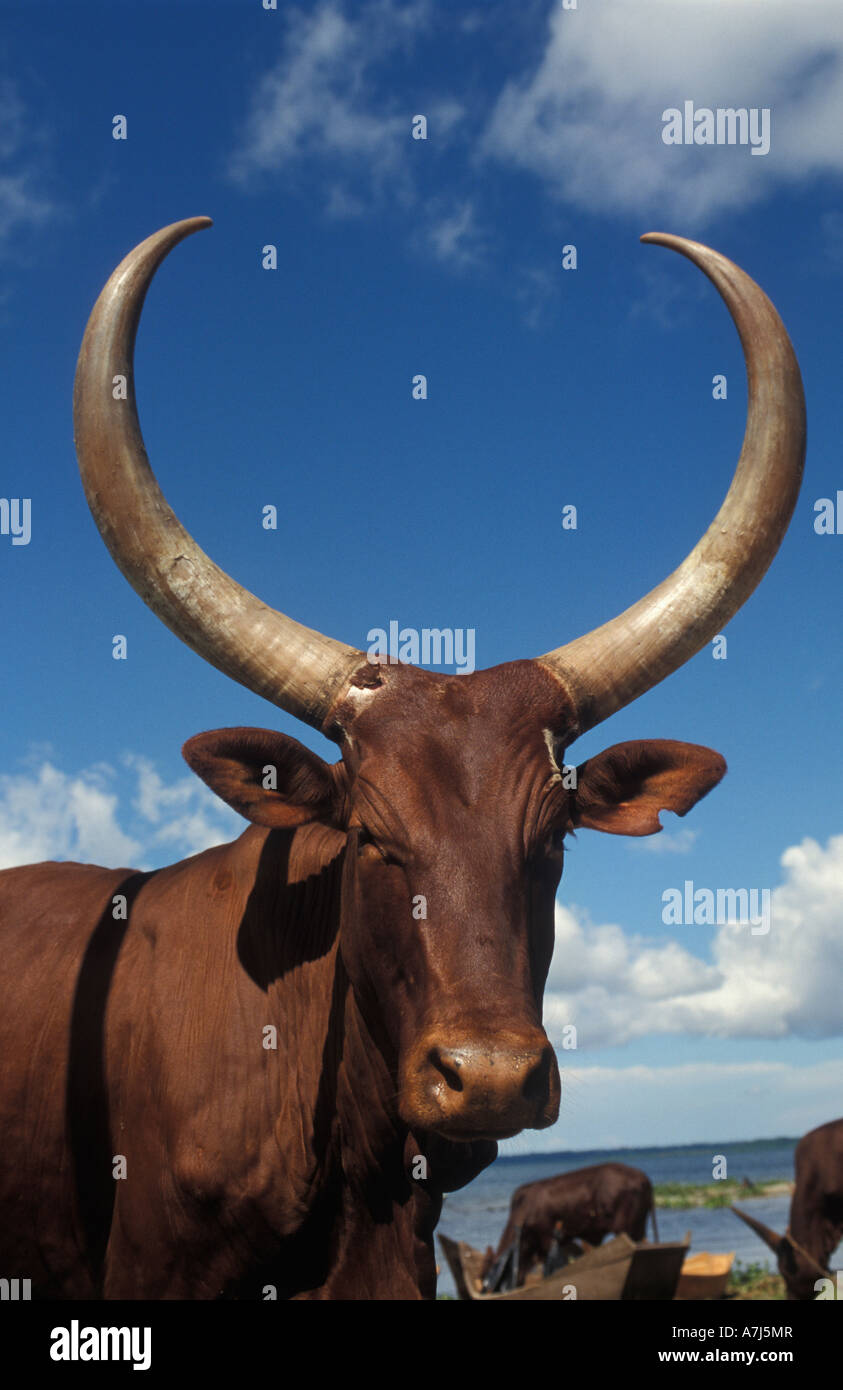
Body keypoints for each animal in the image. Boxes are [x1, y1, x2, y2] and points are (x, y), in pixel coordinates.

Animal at [483, 1163, 656, 1286]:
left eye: (488, 1276)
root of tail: (644, 1178)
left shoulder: (547, 1239)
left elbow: (547, 1270)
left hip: (627, 1228)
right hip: (639, 1227)